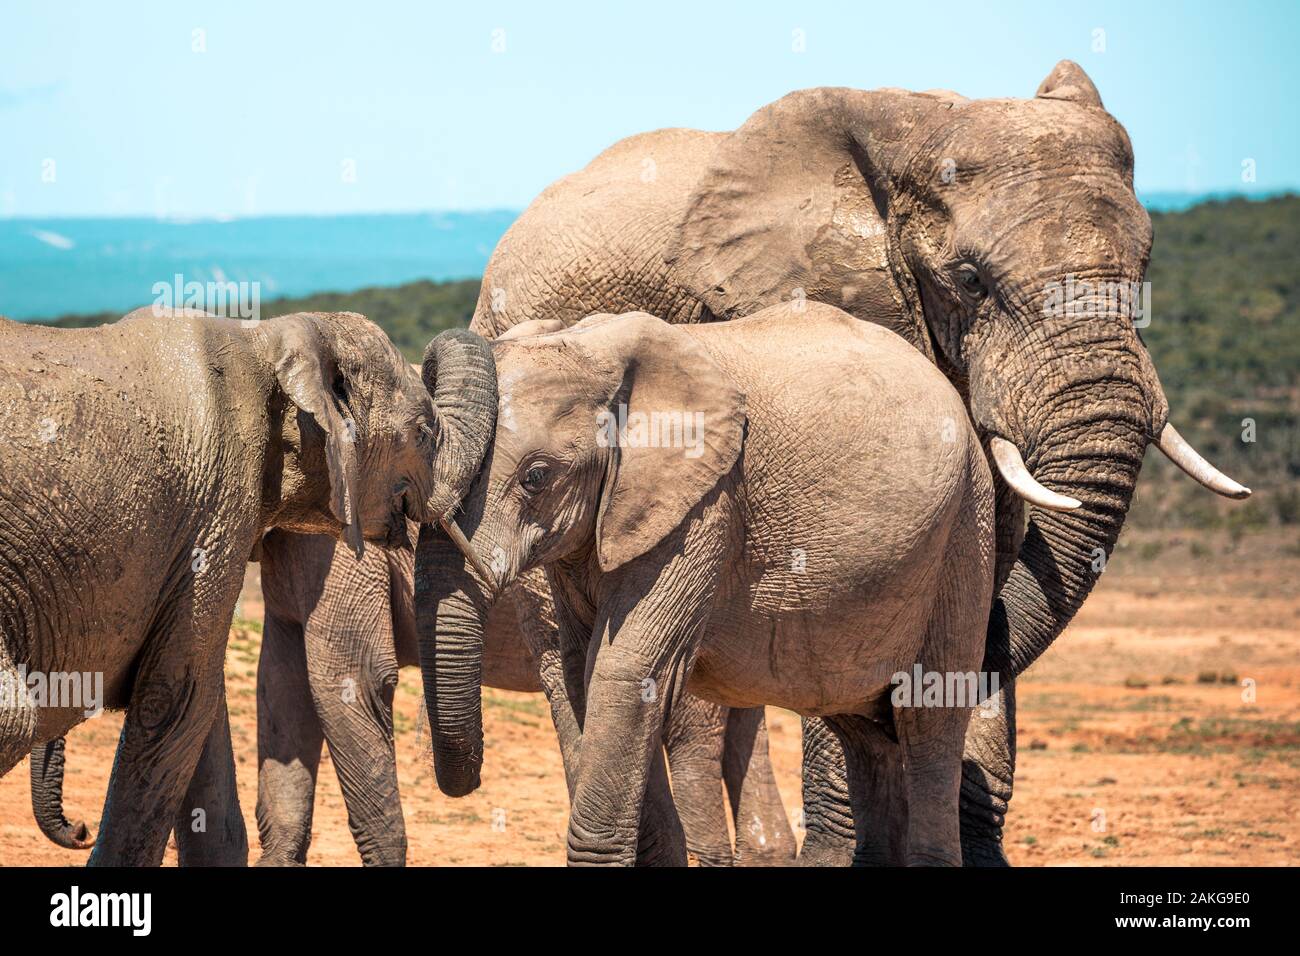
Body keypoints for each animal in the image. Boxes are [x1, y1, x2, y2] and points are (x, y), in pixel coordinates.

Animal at [0, 306, 497, 865]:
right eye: (423, 432)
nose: (80, 828)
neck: (273, 338)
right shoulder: (214, 511)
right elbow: (177, 700)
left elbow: (192, 701)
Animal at [418, 303, 997, 866]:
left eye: (536, 477)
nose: (467, 779)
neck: (592, 346)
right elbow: (583, 670)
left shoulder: (706, 504)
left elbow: (624, 670)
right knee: (860, 728)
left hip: (966, 526)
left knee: (928, 717)